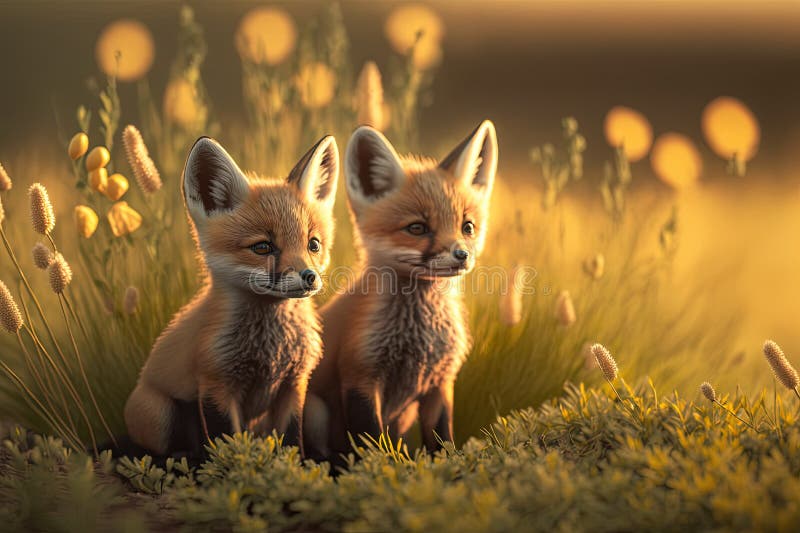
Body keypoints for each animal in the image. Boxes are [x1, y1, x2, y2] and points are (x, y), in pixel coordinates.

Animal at [124, 134, 339, 457]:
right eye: (262, 247)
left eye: (313, 244)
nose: (309, 277)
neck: (270, 353)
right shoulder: (217, 386)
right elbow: (229, 444)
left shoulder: (295, 385)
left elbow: (290, 442)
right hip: (158, 414)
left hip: (316, 410)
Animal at [303, 120, 498, 461]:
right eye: (417, 228)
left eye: (468, 227)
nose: (461, 255)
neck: (418, 342)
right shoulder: (360, 377)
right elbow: (372, 444)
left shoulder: (441, 384)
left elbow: (442, 442)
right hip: (314, 411)